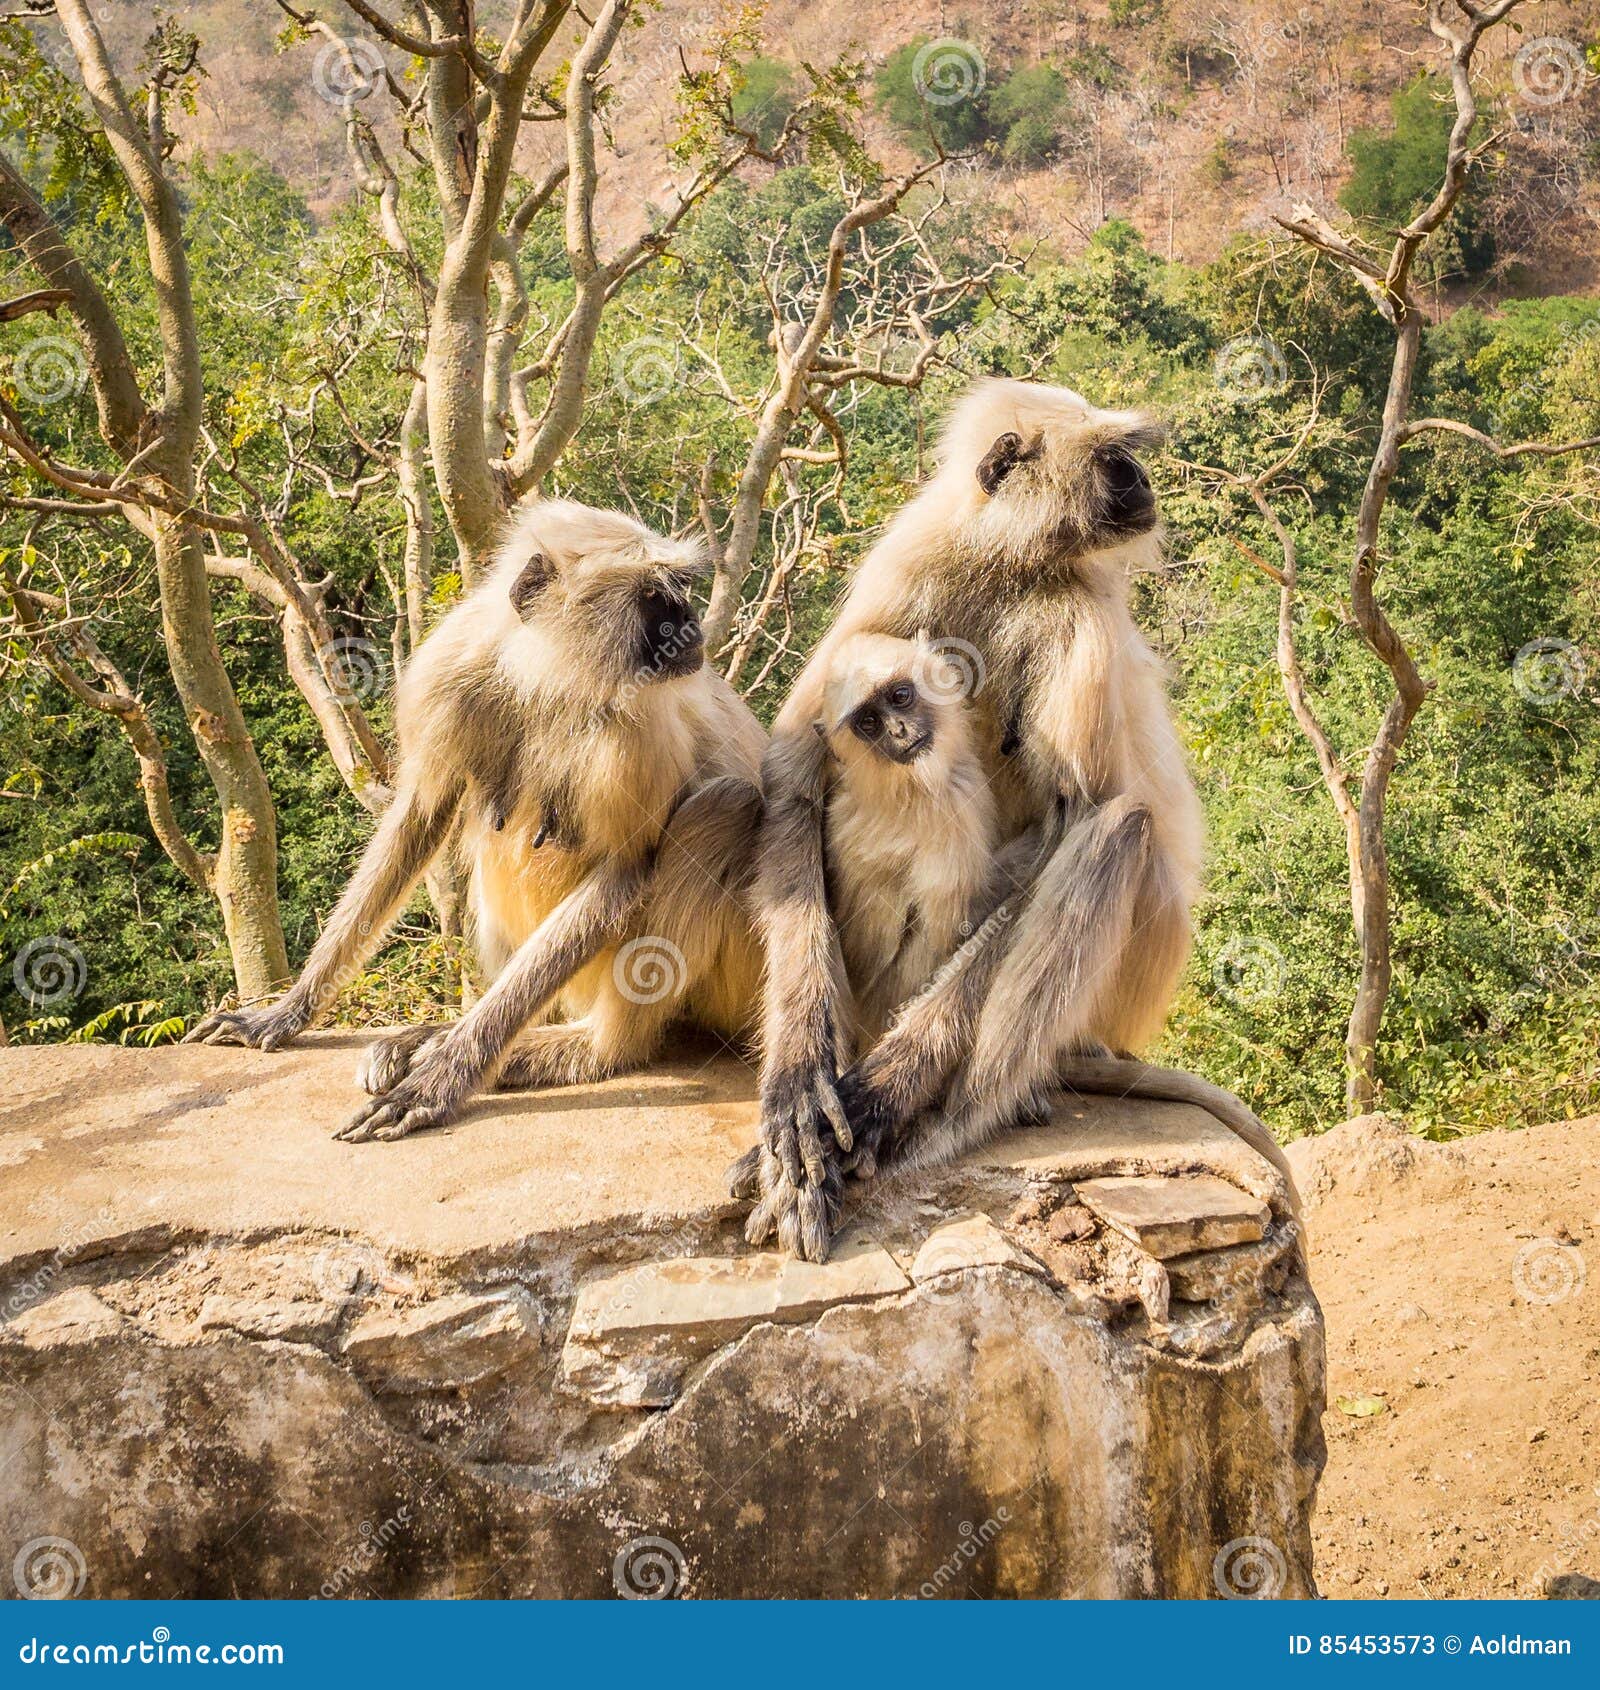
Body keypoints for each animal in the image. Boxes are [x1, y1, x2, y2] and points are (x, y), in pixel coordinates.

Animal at [185, 498, 766, 1142]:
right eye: (653, 596)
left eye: (676, 590)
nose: (690, 625)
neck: (548, 674)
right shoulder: (453, 668)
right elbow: (420, 816)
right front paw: (285, 1014)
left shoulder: (636, 730)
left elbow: (628, 866)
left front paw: (444, 1077)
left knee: (726, 804)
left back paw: (592, 1047)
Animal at [736, 378, 1299, 1260]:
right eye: (1115, 460)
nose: (1143, 481)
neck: (1012, 563)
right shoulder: (909, 564)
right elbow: (795, 777)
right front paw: (799, 1082)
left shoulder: (1080, 615)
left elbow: (1074, 821)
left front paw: (882, 1095)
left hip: (1126, 990)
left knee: (1121, 828)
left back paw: (959, 1118)